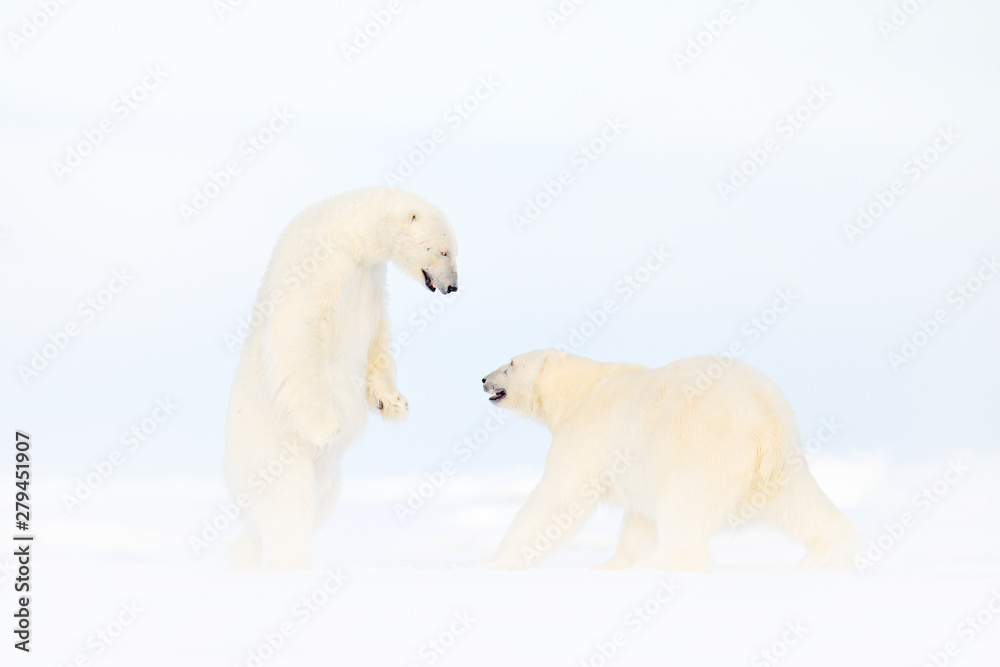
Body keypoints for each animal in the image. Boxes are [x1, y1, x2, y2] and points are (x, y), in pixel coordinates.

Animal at [223, 186, 458, 572]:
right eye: (443, 250)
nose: (452, 286)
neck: (351, 234)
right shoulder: (320, 262)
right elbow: (298, 327)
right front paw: (326, 428)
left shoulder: (371, 276)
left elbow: (377, 334)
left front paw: (393, 402)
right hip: (270, 450)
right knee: (288, 504)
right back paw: (289, 562)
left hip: (327, 479)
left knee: (319, 502)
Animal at [480, 349, 858, 571]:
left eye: (511, 363)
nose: (483, 378)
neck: (579, 390)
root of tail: (764, 418)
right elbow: (640, 519)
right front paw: (613, 565)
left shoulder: (587, 433)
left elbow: (557, 496)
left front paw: (497, 559)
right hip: (780, 467)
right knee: (802, 506)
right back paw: (829, 553)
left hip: (696, 444)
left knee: (683, 506)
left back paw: (666, 562)